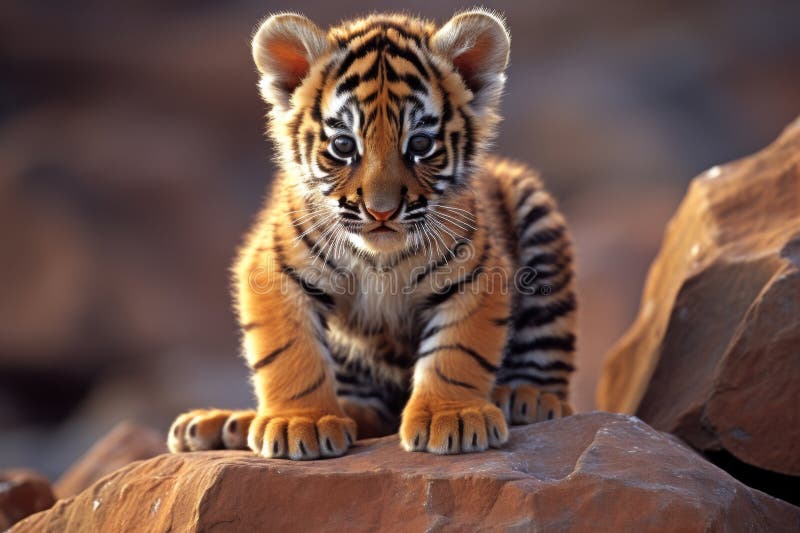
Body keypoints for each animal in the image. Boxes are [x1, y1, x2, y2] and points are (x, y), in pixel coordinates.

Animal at [168, 8, 576, 460]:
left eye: (420, 144)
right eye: (344, 146)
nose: (381, 211)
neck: (381, 258)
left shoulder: (479, 272)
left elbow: (457, 350)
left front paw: (450, 415)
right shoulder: (272, 267)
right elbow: (290, 352)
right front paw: (299, 422)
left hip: (538, 230)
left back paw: (526, 397)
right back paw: (222, 425)